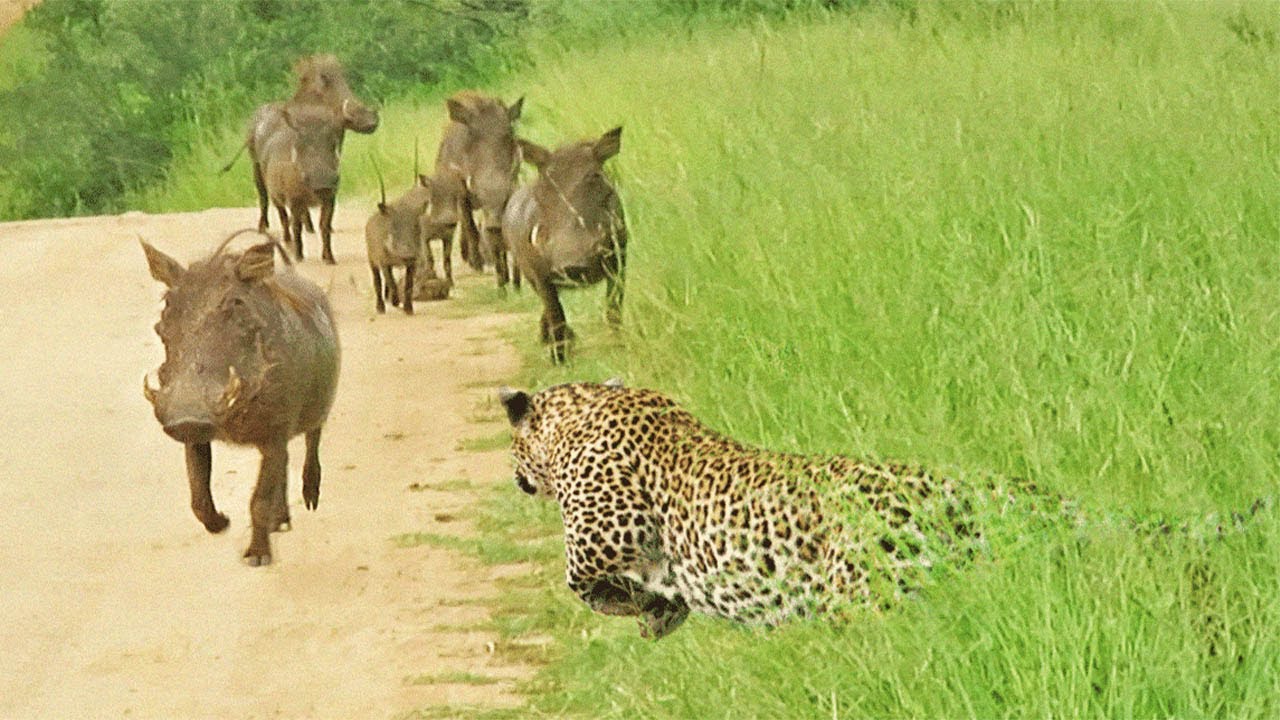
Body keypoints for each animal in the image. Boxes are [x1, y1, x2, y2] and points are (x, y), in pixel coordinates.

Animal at [497, 379, 1086, 640]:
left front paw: (635, 606)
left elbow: (579, 582)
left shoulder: (602, 535)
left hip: (865, 600)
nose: (515, 477)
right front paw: (657, 612)